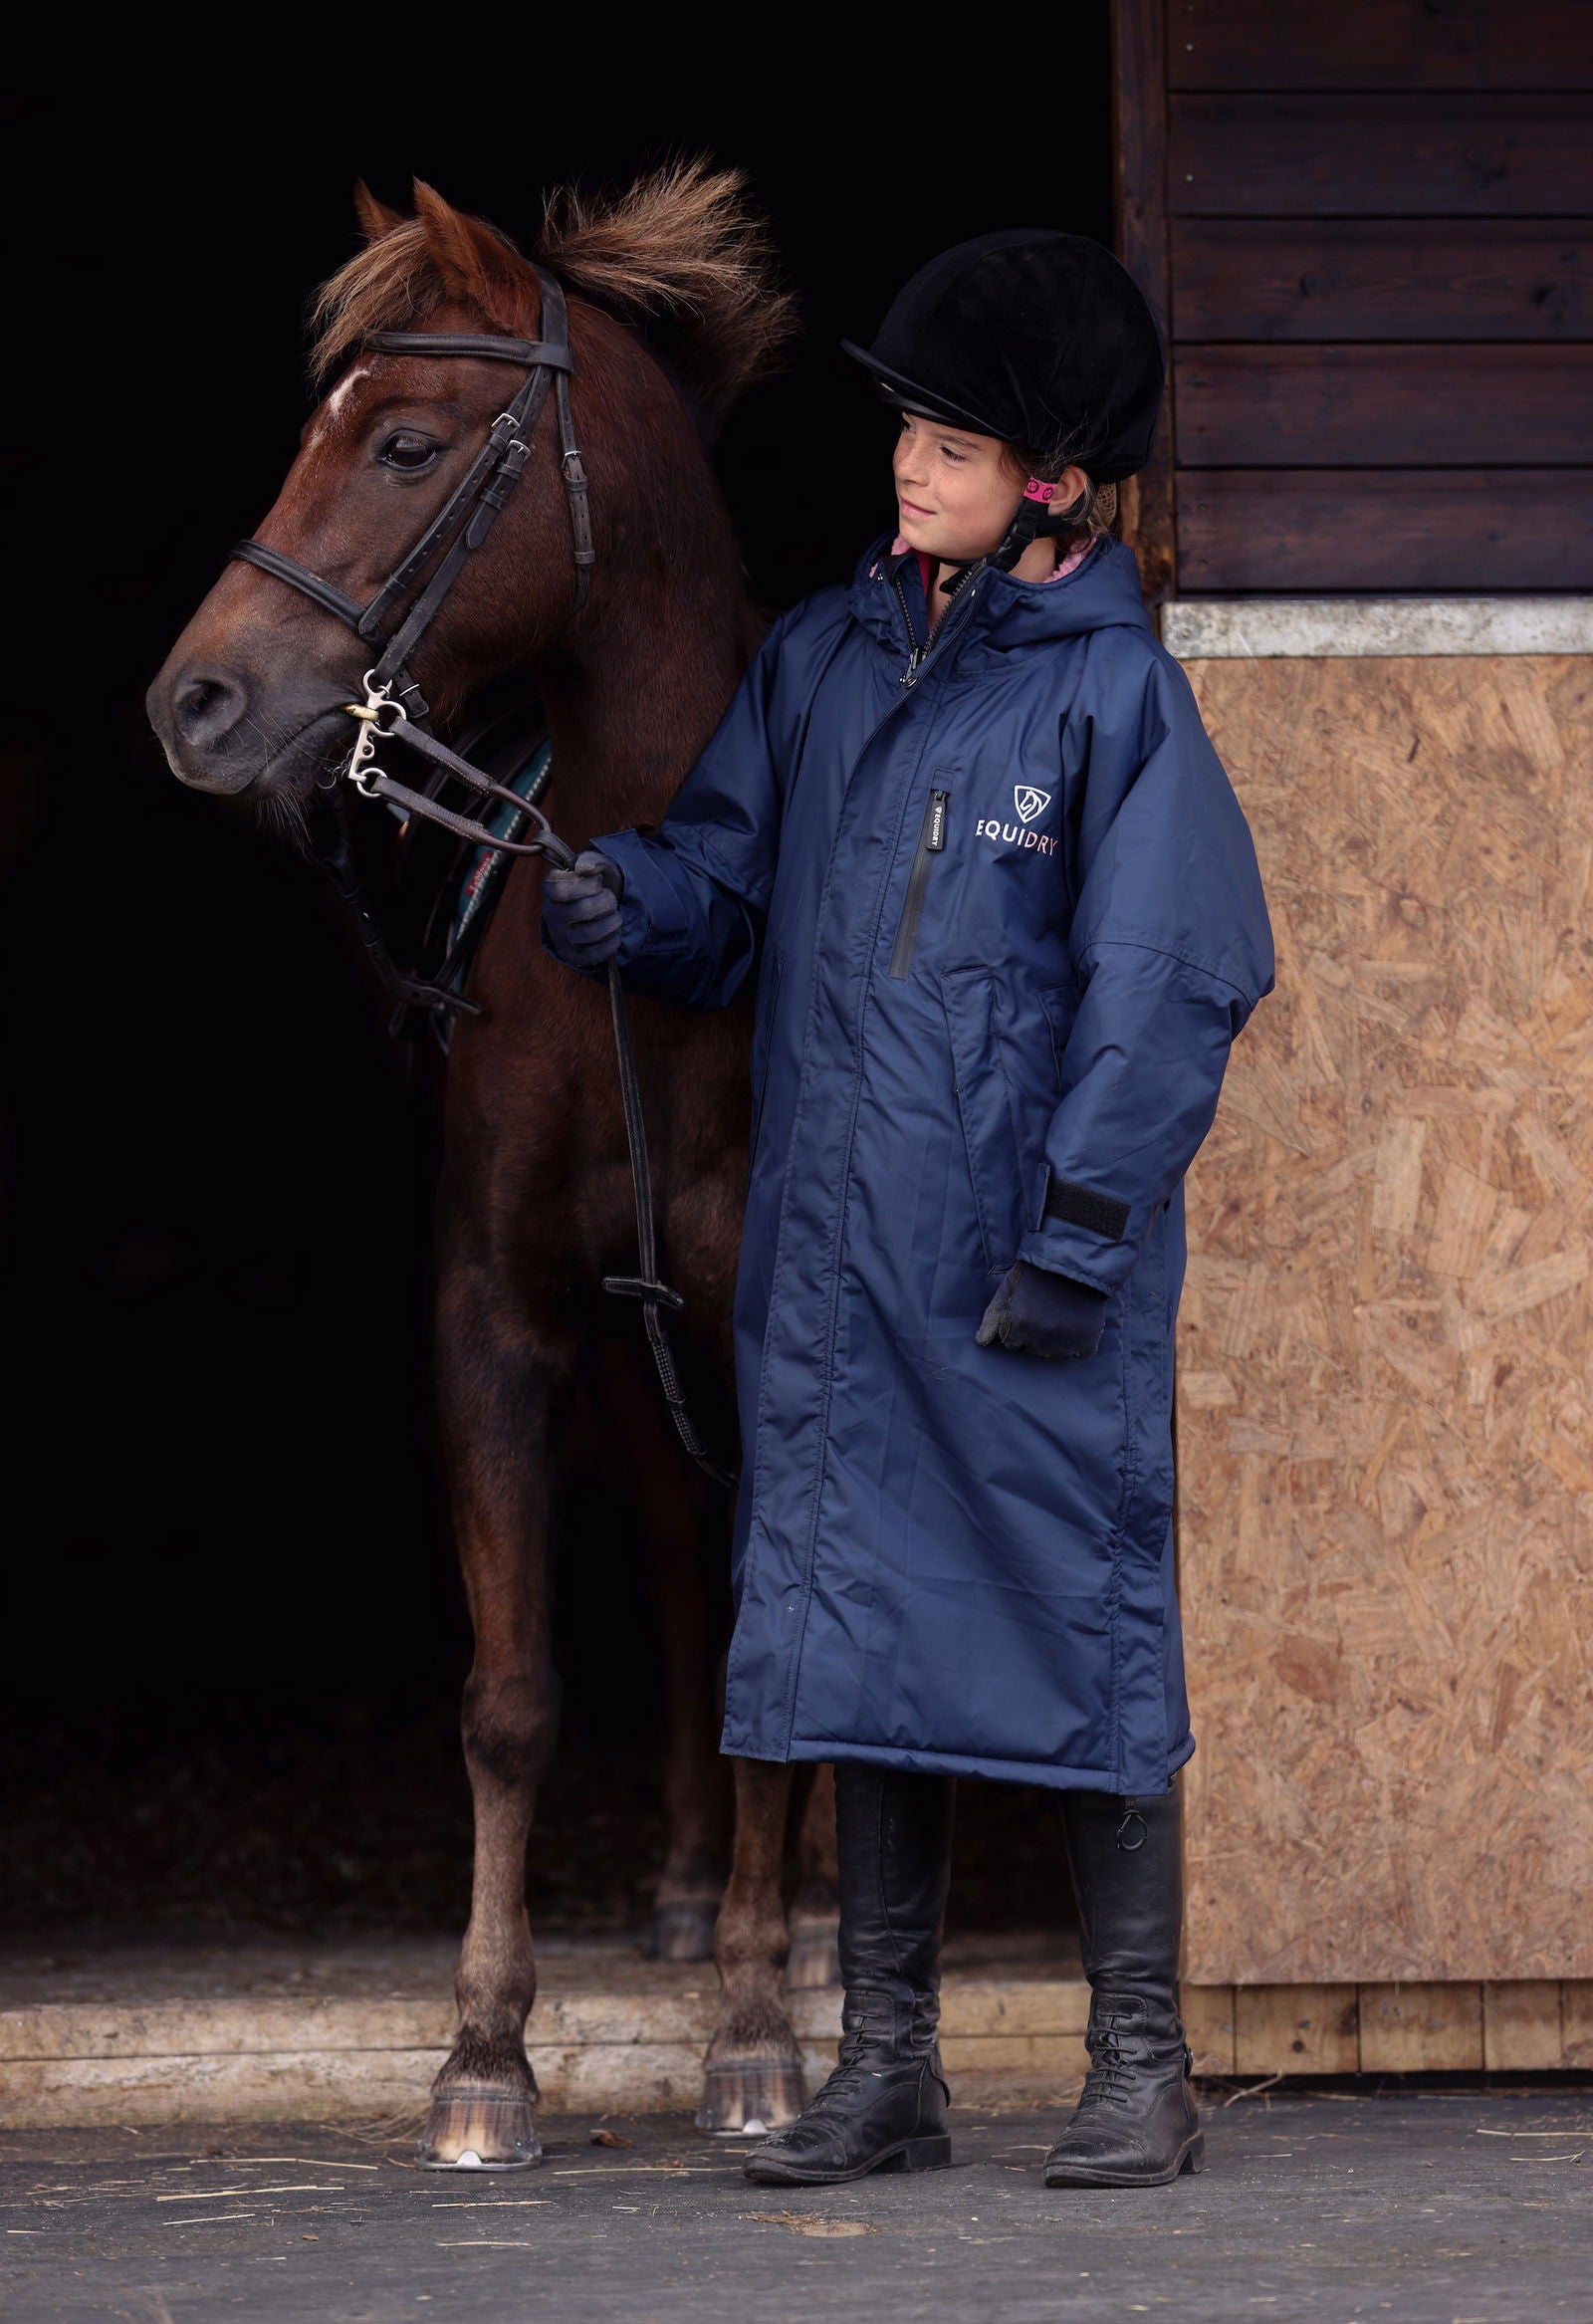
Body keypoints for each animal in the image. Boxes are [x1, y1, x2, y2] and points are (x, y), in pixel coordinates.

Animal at [147, 165, 839, 2167]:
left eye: (399, 442)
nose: (195, 701)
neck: (657, 927)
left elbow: (786, 1686)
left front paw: (759, 2028)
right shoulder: (501, 1332)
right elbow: (515, 1696)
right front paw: (483, 2049)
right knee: (681, 1566)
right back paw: (688, 1890)